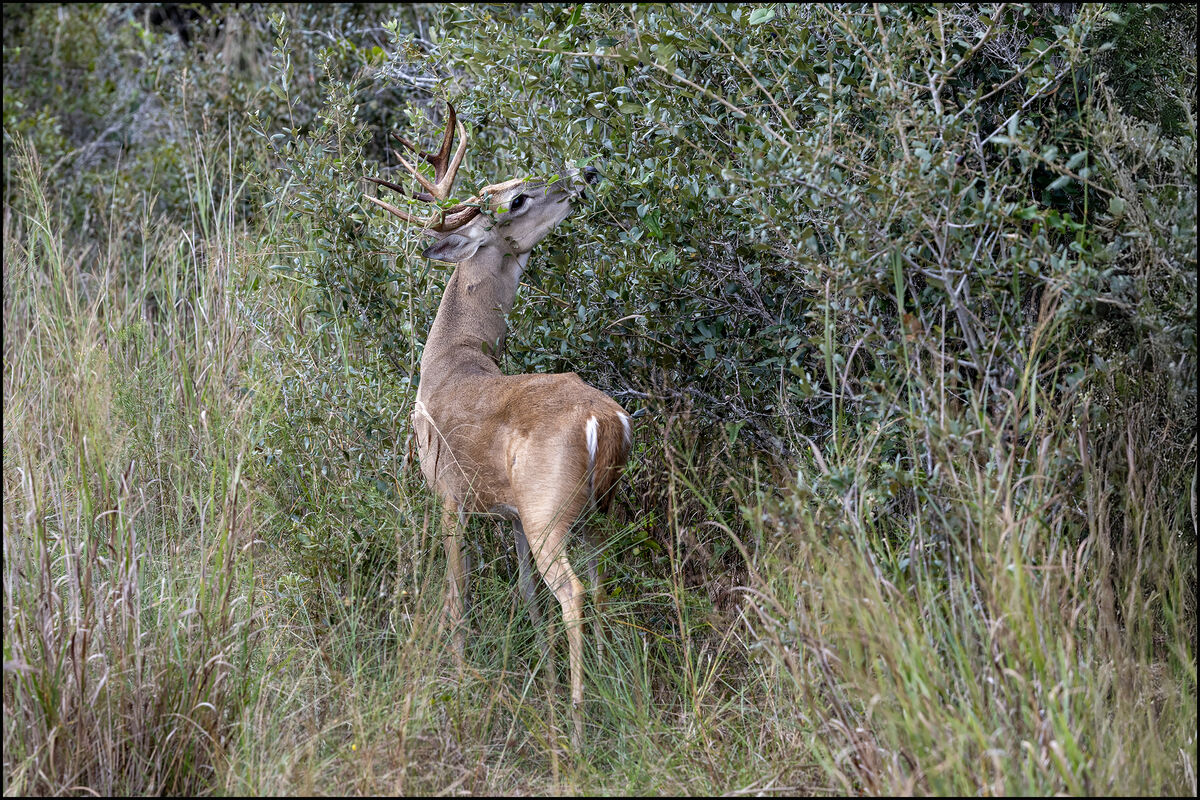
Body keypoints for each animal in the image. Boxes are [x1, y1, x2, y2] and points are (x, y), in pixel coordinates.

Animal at [363, 103, 632, 746]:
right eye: (517, 197)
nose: (585, 171)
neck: (450, 360)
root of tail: (604, 417)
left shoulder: (448, 493)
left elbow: (457, 595)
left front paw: (460, 684)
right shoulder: (508, 512)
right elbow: (526, 597)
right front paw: (543, 677)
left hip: (550, 512)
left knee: (573, 592)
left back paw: (579, 723)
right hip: (595, 511)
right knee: (598, 583)